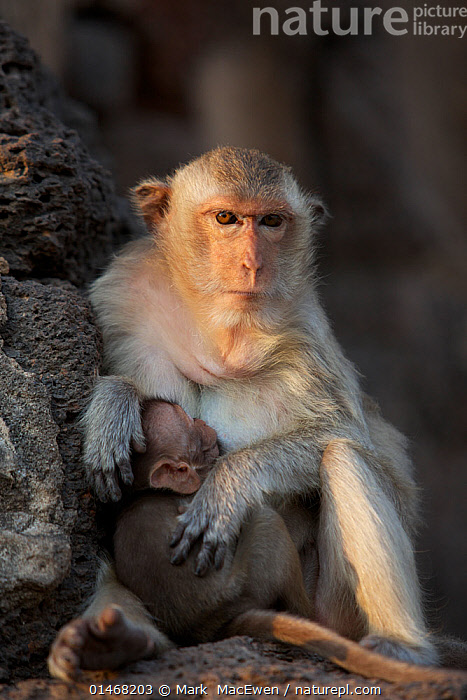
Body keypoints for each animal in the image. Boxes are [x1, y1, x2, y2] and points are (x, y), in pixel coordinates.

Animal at [48, 147, 466, 681]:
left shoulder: (305, 334)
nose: (252, 264)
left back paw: (402, 646)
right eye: (227, 218)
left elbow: (343, 431)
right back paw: (112, 643)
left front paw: (228, 485)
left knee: (344, 457)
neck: (222, 335)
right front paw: (114, 404)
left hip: (332, 609)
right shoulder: (123, 297)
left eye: (271, 222)